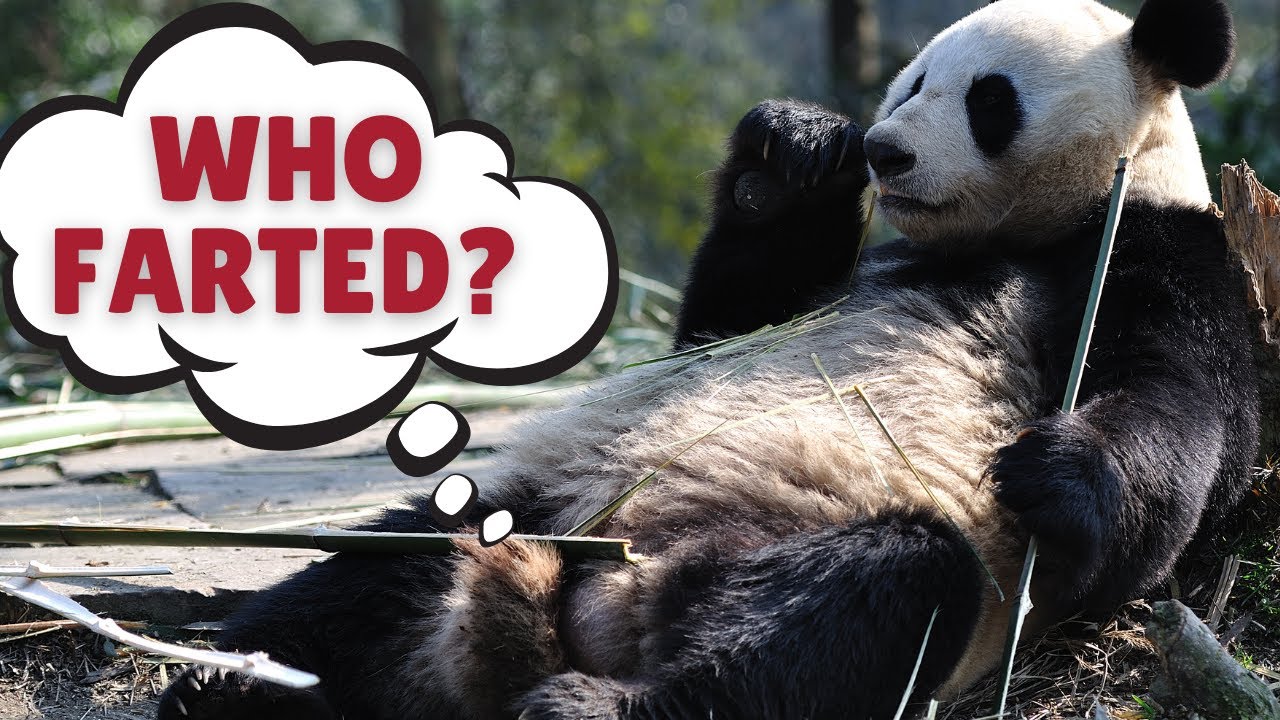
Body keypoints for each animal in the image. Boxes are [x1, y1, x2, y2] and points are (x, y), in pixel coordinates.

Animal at [158, 0, 1258, 718]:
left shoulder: (1159, 255)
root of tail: (595, 611)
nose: (887, 150)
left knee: (847, 613)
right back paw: (232, 684)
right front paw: (796, 147)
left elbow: (1178, 436)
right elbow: (725, 323)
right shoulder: (834, 281)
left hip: (798, 550)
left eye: (988, 99)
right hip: (546, 511)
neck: (1003, 239)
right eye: (909, 81)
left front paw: (1054, 471)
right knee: (373, 574)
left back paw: (592, 708)